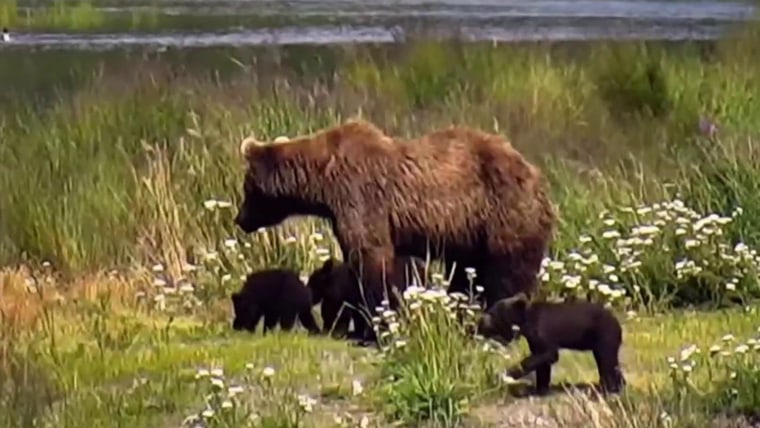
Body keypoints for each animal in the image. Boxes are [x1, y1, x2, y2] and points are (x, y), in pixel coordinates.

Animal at [234, 118, 556, 341]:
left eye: (247, 189)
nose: (240, 219)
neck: (323, 180)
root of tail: (536, 174)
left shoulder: (359, 195)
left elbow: (372, 259)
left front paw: (376, 324)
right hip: (472, 233)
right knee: (468, 275)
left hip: (503, 211)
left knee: (507, 272)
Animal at [476, 293, 625, 395]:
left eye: (492, 313)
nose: (480, 323)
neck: (525, 321)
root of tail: (617, 323)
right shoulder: (534, 340)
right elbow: (542, 362)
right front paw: (540, 389)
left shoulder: (542, 331)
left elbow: (548, 354)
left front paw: (507, 374)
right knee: (608, 363)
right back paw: (615, 386)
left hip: (604, 335)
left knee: (607, 361)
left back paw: (609, 389)